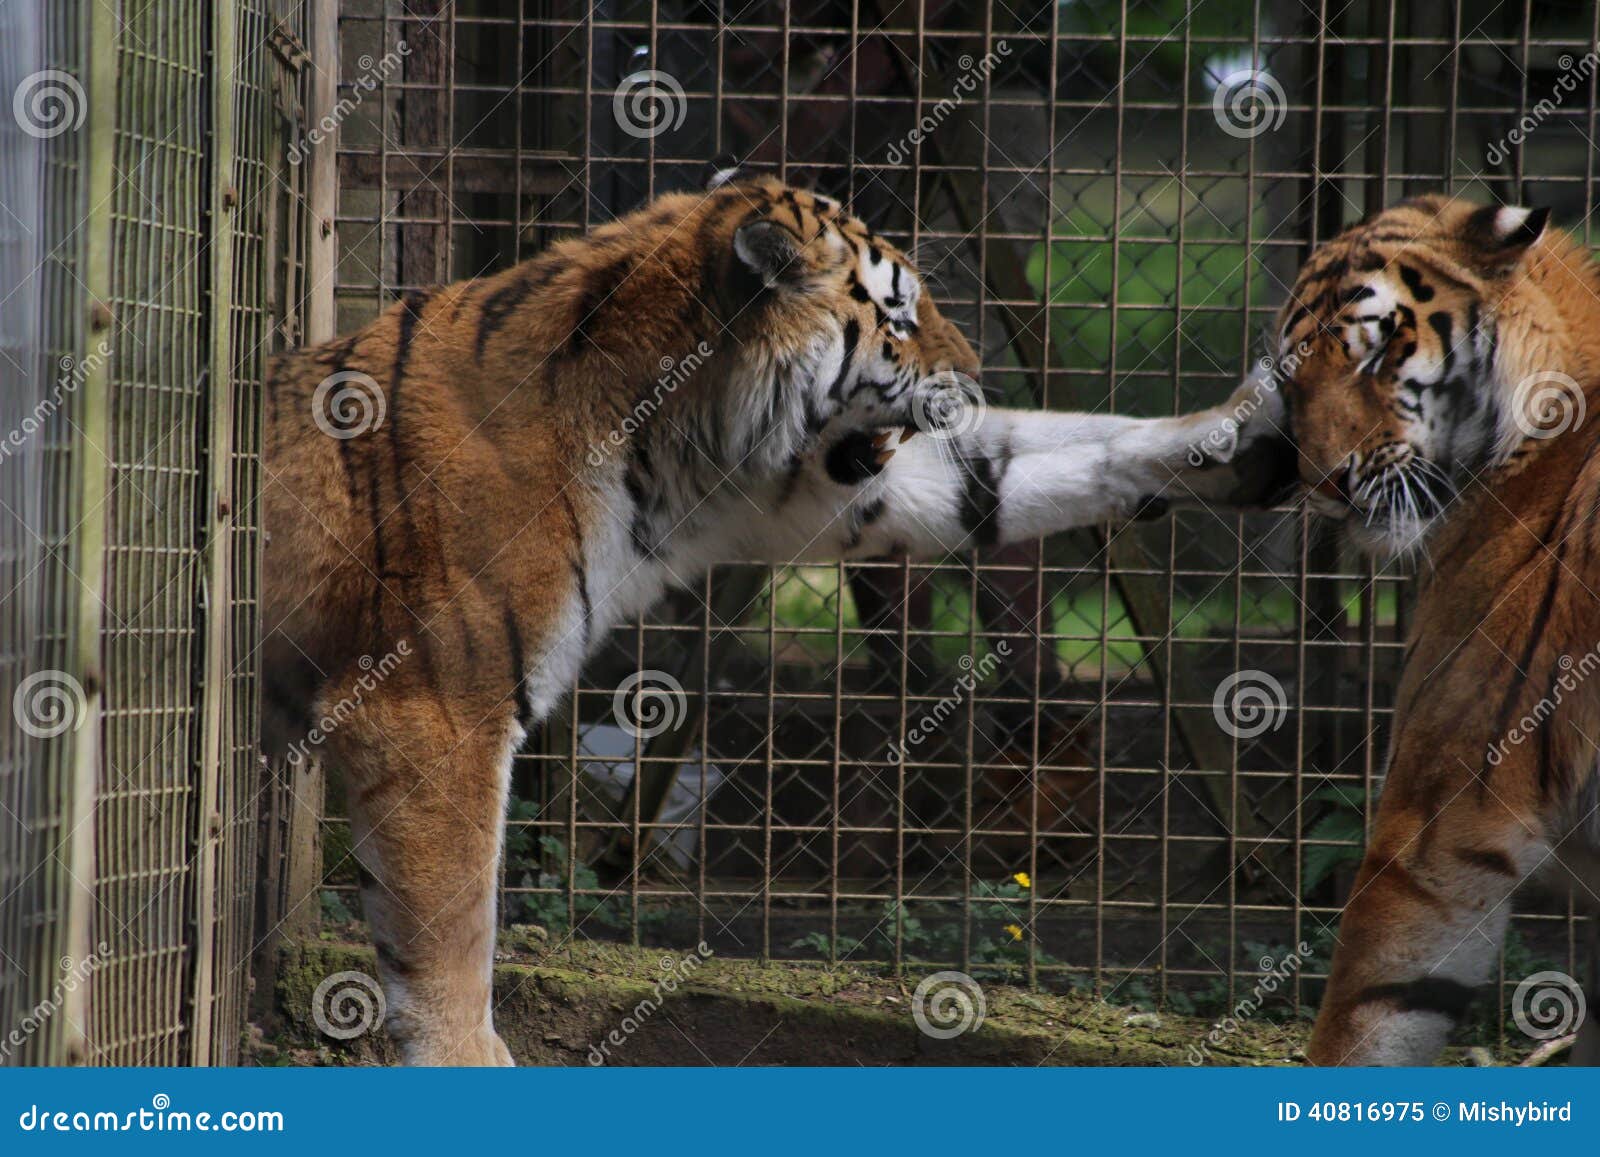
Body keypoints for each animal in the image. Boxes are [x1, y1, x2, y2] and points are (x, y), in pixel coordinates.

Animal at [260, 168, 1292, 1065]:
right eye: (899, 314)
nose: (976, 375)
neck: (668, 438)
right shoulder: (436, 709)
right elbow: (450, 932)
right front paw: (467, 1062)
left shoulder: (817, 491)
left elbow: (1011, 471)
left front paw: (1241, 434)